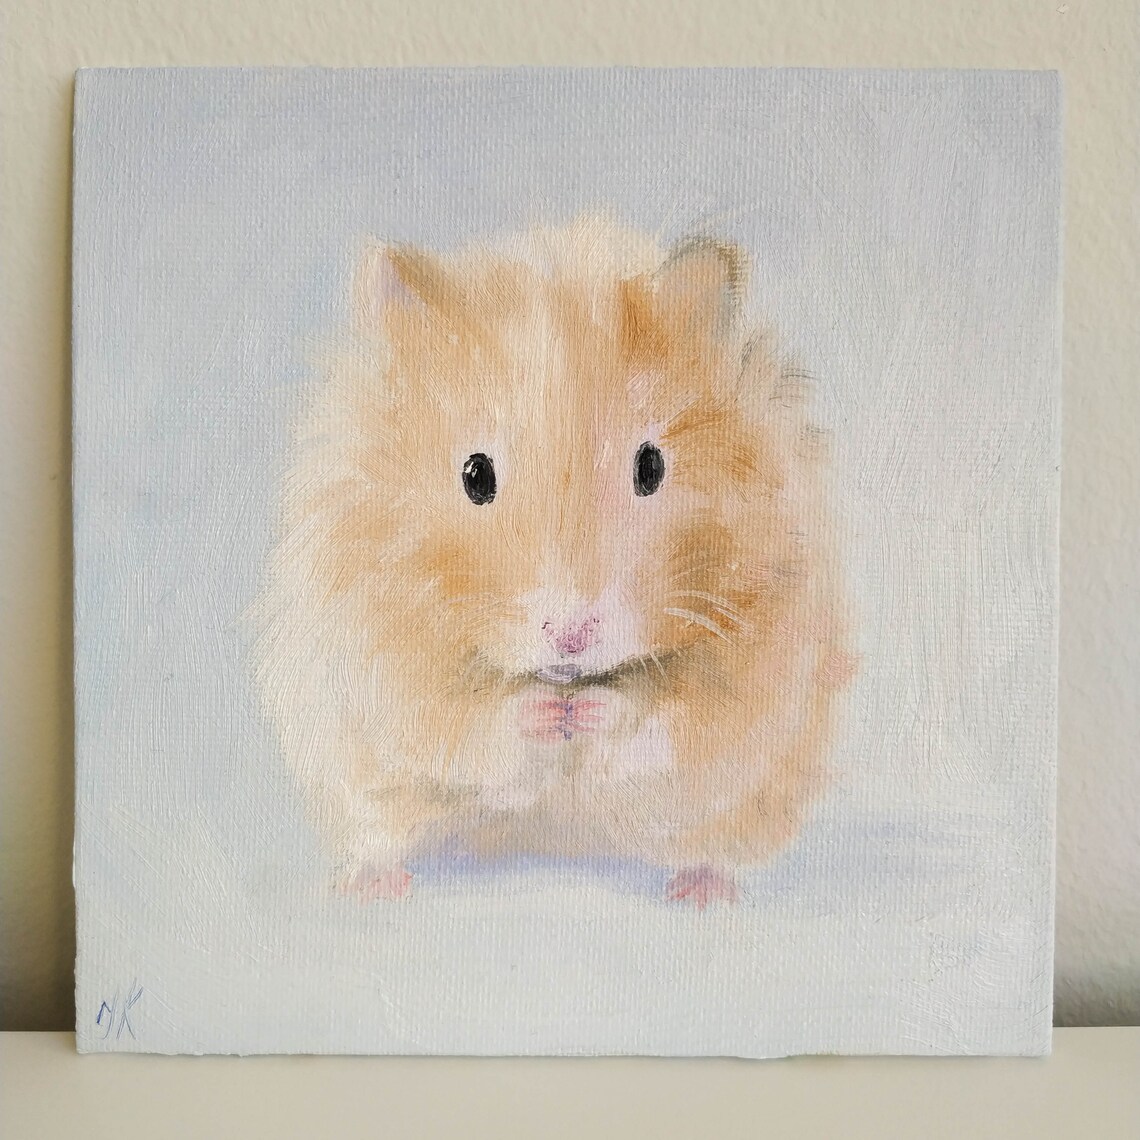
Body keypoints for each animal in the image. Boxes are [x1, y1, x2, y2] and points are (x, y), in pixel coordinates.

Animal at [251, 214, 855, 908]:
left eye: (652, 466)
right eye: (475, 474)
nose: (571, 635)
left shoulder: (766, 638)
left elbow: (673, 720)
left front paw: (588, 714)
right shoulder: (374, 641)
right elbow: (460, 721)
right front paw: (546, 713)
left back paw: (703, 892)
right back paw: (372, 886)